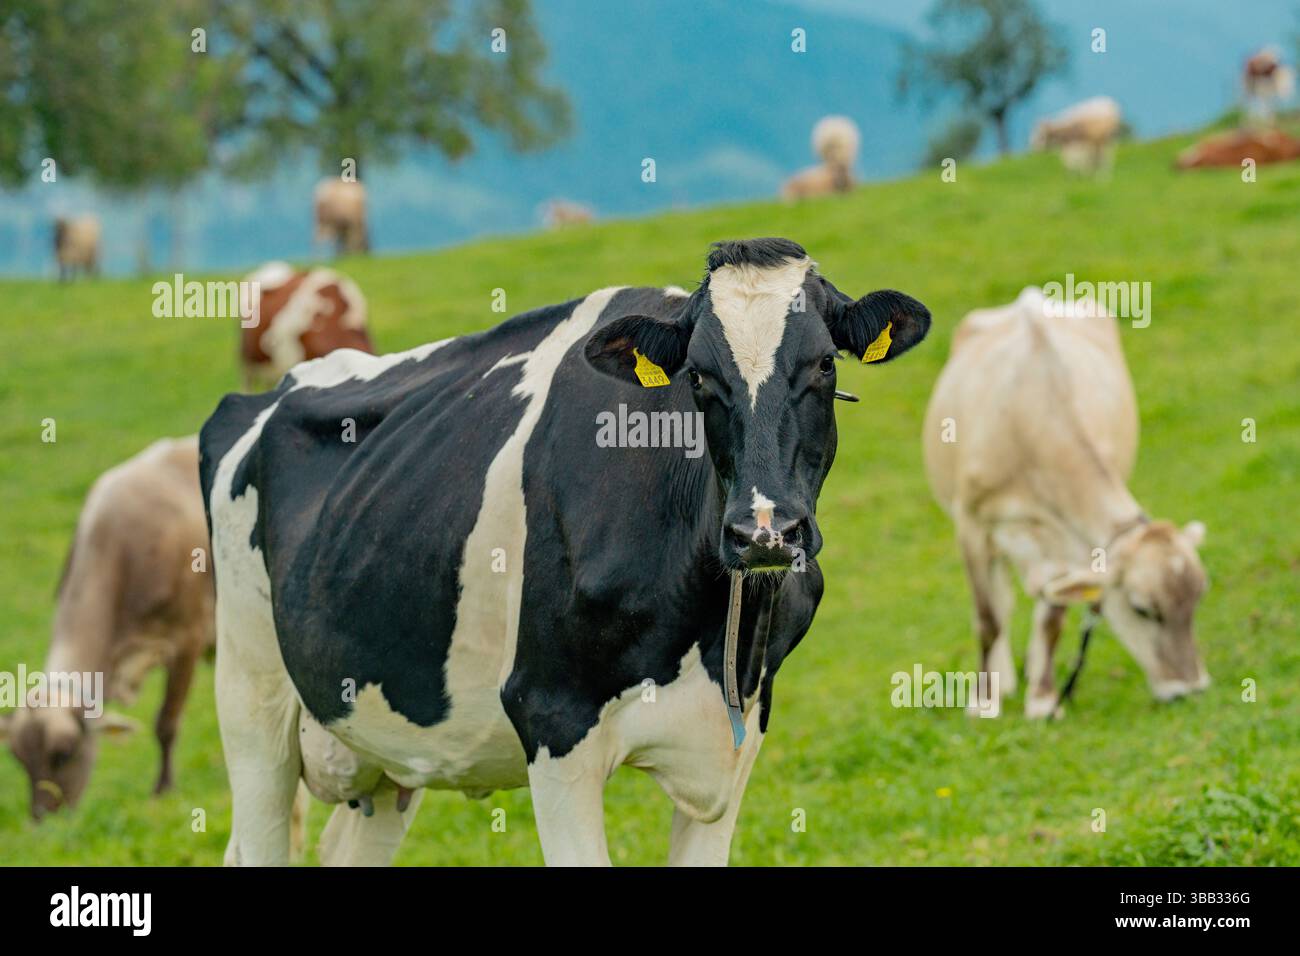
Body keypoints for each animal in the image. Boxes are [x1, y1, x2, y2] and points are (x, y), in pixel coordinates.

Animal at [1, 436, 215, 819]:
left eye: (64, 754)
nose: (44, 821)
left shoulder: (187, 638)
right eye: (19, 759)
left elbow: (166, 723)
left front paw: (163, 790)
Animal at [923, 288, 1209, 719]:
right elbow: (988, 619)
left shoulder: (1068, 542)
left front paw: (1043, 700)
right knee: (1002, 601)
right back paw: (1002, 680)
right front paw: (982, 701)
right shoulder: (970, 525)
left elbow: (1052, 615)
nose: (1189, 689)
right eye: (1142, 608)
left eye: (1196, 601)